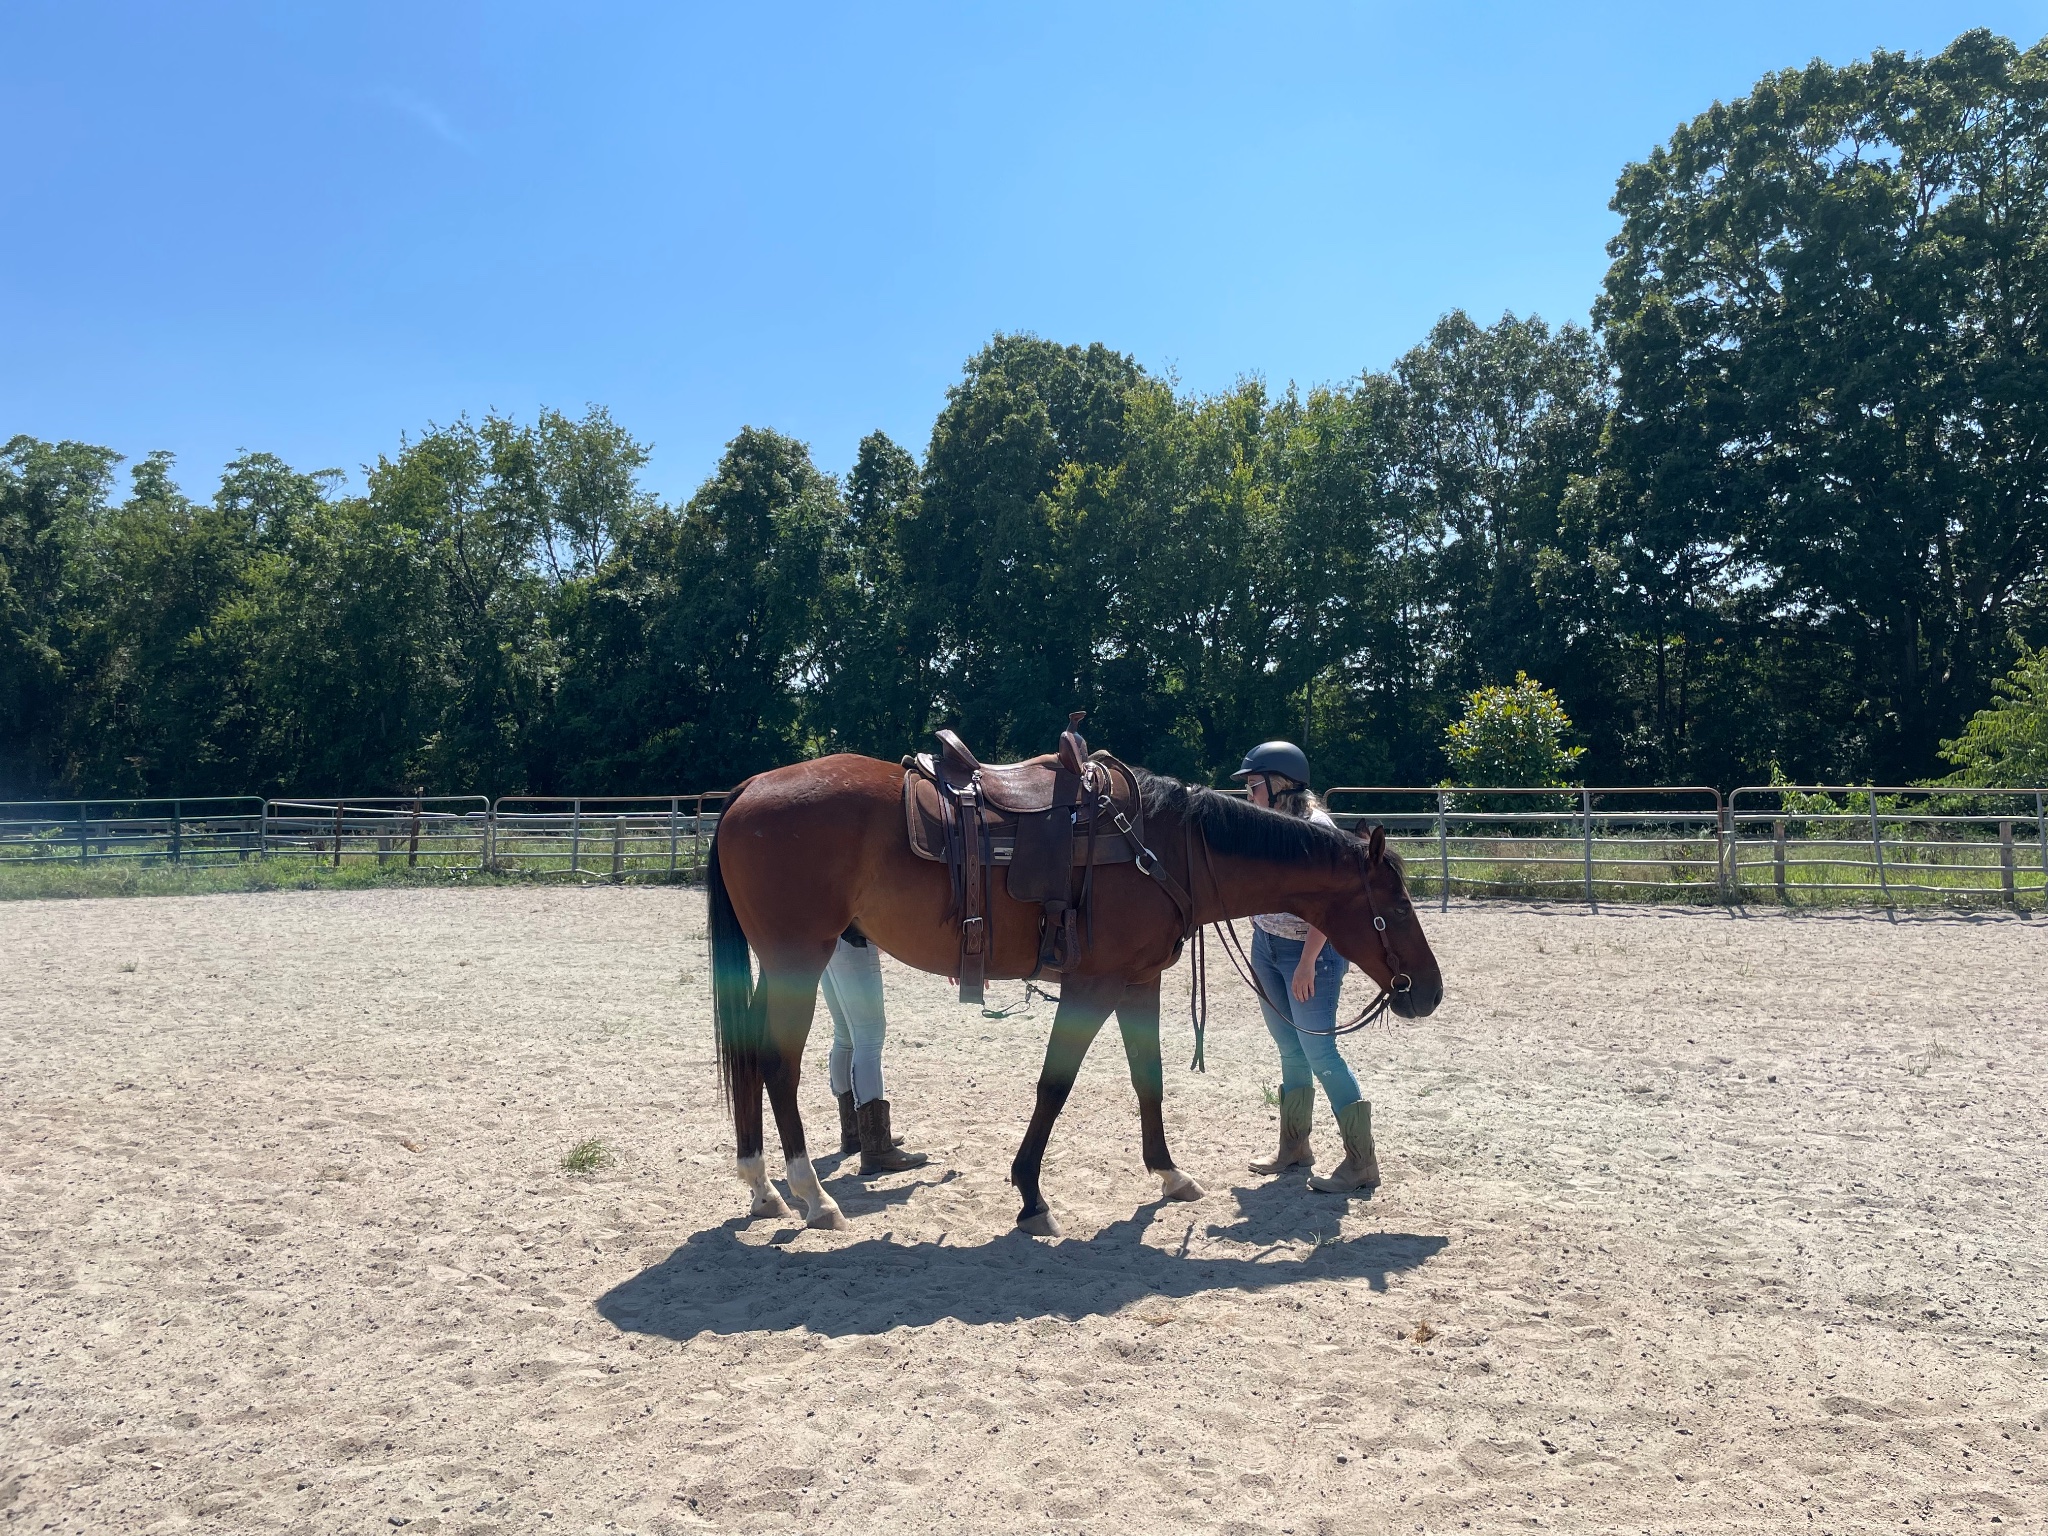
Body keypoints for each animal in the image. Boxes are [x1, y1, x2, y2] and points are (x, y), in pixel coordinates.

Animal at [706, 752, 1442, 1236]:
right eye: (1396, 908)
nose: (1429, 993)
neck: (1163, 848)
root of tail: (748, 789)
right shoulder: (1093, 984)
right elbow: (1054, 1084)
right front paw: (1032, 1195)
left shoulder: (1139, 982)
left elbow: (1150, 1078)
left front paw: (1170, 1175)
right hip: (800, 957)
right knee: (778, 1062)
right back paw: (812, 1196)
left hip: (785, 961)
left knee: (750, 1053)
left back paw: (762, 1188)